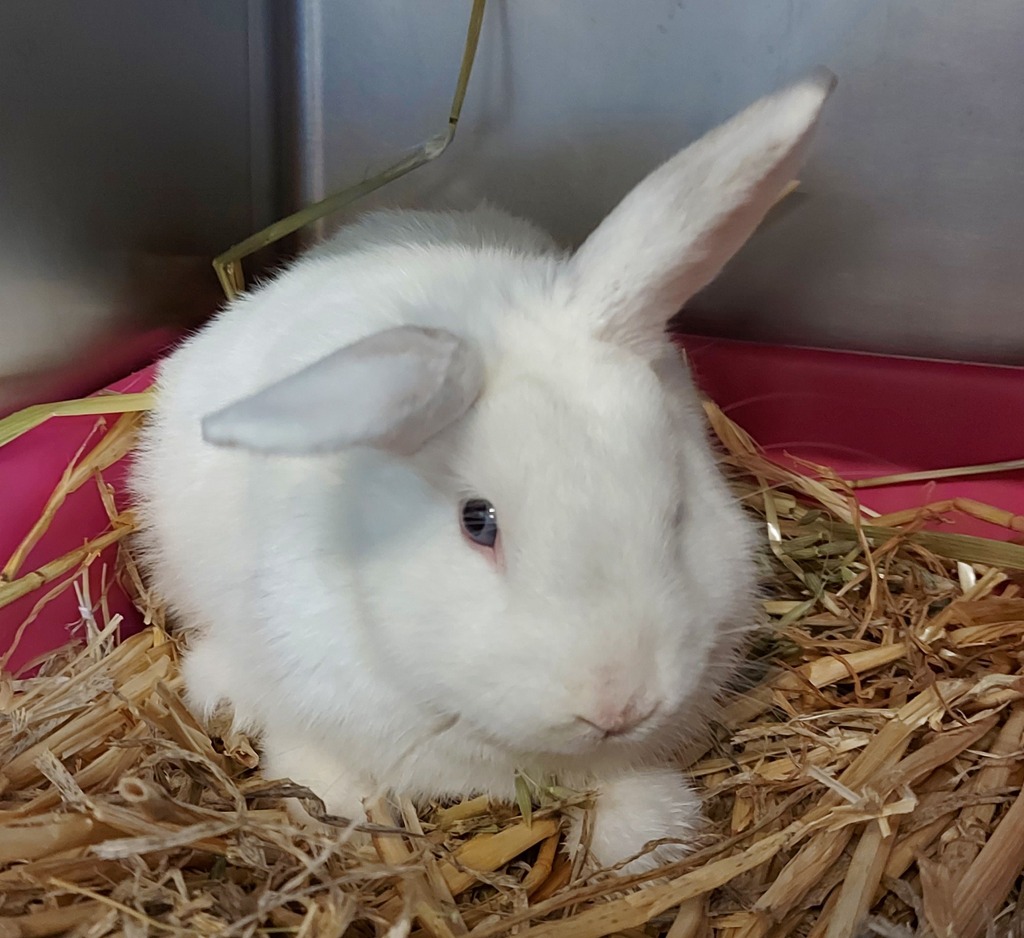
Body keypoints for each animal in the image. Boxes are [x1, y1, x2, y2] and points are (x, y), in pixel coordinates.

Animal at [127, 68, 835, 873]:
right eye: (479, 523)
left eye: (679, 509)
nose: (617, 705)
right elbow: (313, 756)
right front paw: (343, 806)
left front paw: (648, 835)